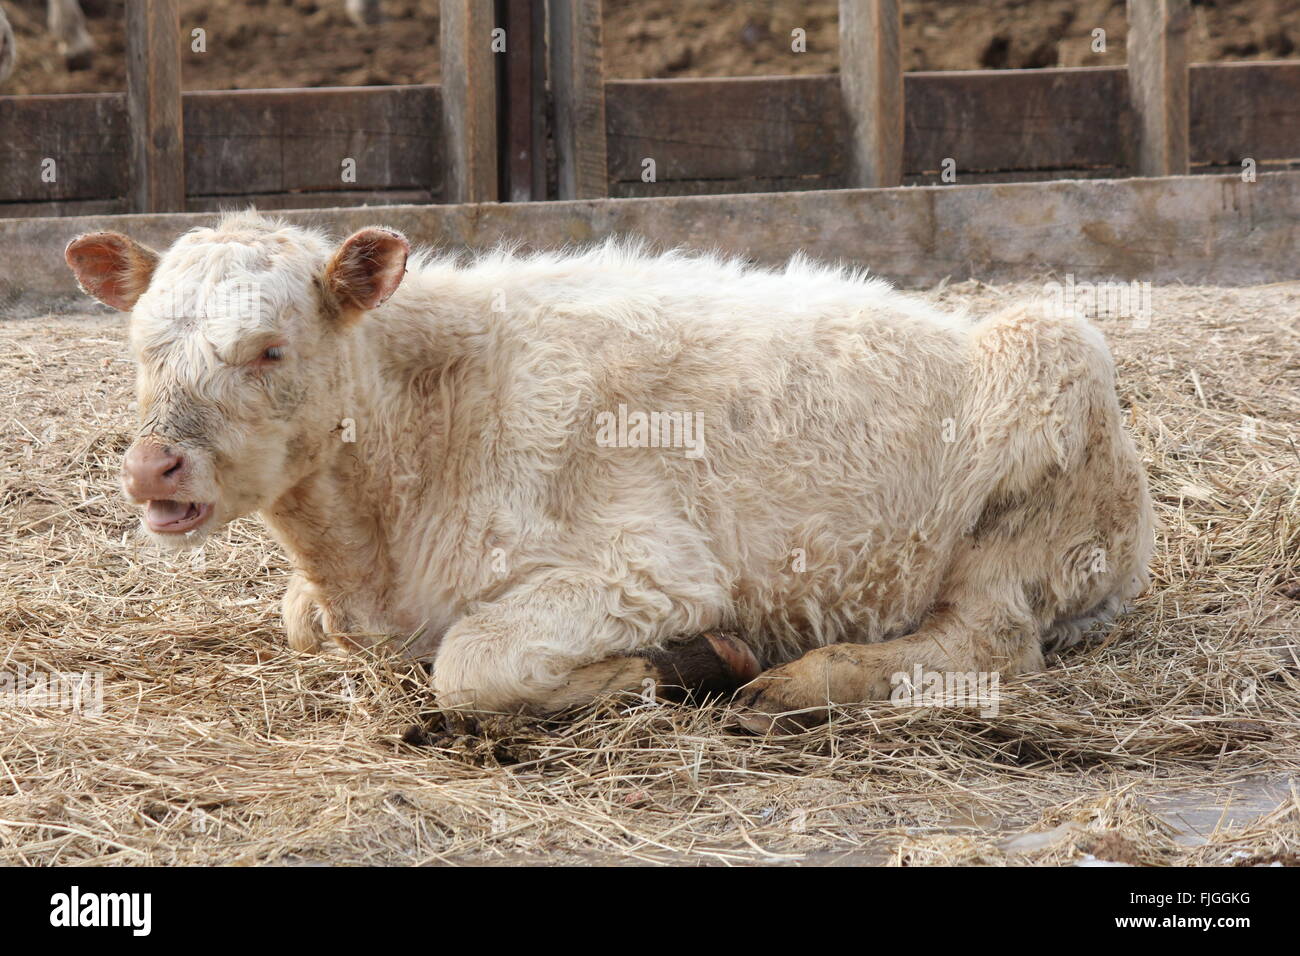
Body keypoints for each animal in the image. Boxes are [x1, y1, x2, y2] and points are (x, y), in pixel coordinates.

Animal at [65, 211, 1155, 732]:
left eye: (269, 350)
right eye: (143, 344)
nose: (151, 465)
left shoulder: (650, 568)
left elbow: (471, 665)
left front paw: (672, 668)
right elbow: (299, 621)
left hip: (1046, 392)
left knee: (990, 642)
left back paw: (796, 682)